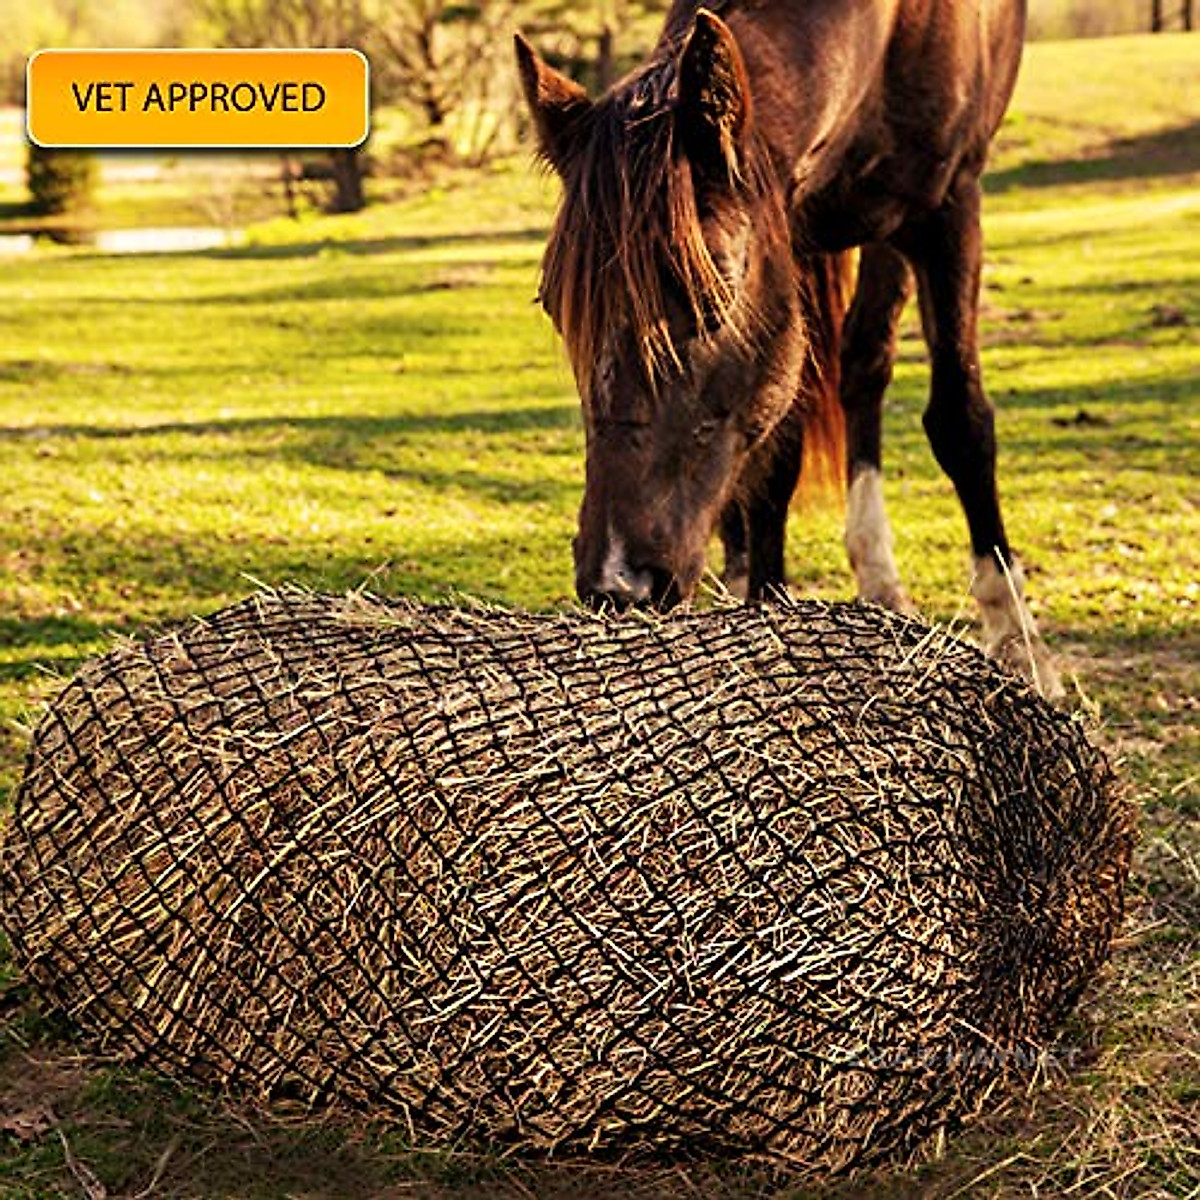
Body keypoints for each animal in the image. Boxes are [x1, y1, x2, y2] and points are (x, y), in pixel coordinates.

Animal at [516, 0, 1061, 697]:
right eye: (555, 309)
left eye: (715, 293)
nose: (617, 584)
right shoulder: (789, 238)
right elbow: (775, 461)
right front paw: (764, 612)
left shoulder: (948, 210)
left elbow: (960, 424)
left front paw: (1018, 639)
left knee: (865, 365)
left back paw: (880, 577)